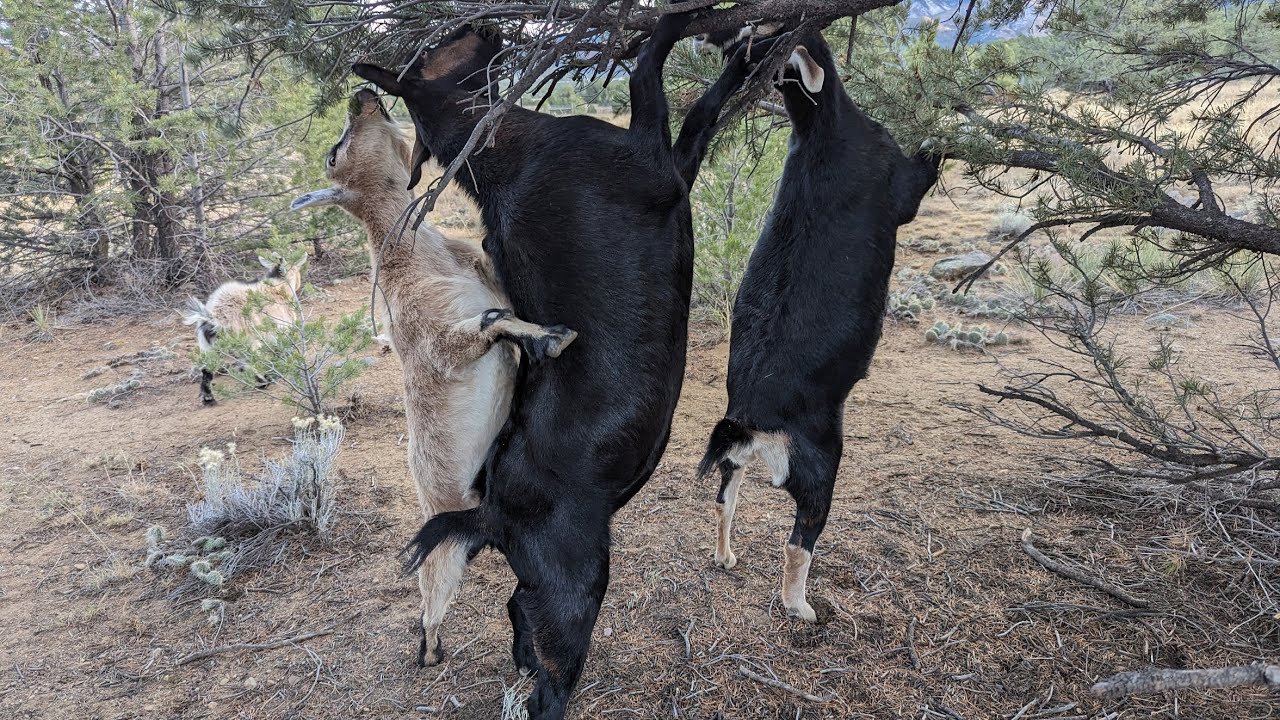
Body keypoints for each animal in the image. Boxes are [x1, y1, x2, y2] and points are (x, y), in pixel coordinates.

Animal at [181, 255, 306, 405]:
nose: (299, 282)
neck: (280, 285)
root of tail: (213, 317)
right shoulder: (283, 328)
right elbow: (282, 350)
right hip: (246, 340)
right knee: (249, 362)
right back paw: (263, 381)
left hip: (207, 346)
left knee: (207, 369)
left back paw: (208, 397)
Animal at [290, 88, 577, 667]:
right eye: (334, 153)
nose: (362, 97)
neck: (422, 260)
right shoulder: (436, 339)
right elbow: (491, 324)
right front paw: (552, 336)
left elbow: (500, 304)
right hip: (442, 554)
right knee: (430, 603)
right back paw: (430, 652)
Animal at [351, 5, 760, 717]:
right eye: (433, 49)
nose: (486, 25)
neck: (507, 152)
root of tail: (488, 512)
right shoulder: (659, 167)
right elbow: (660, 74)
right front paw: (704, 28)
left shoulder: (674, 166)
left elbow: (700, 111)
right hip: (576, 588)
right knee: (551, 676)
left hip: (538, 580)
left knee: (518, 608)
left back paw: (516, 654)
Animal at [696, 29, 942, 623]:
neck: (820, 131)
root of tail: (750, 422)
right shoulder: (902, 185)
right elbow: (930, 160)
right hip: (820, 466)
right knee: (798, 540)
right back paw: (800, 608)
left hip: (735, 465)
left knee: (724, 500)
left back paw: (726, 556)